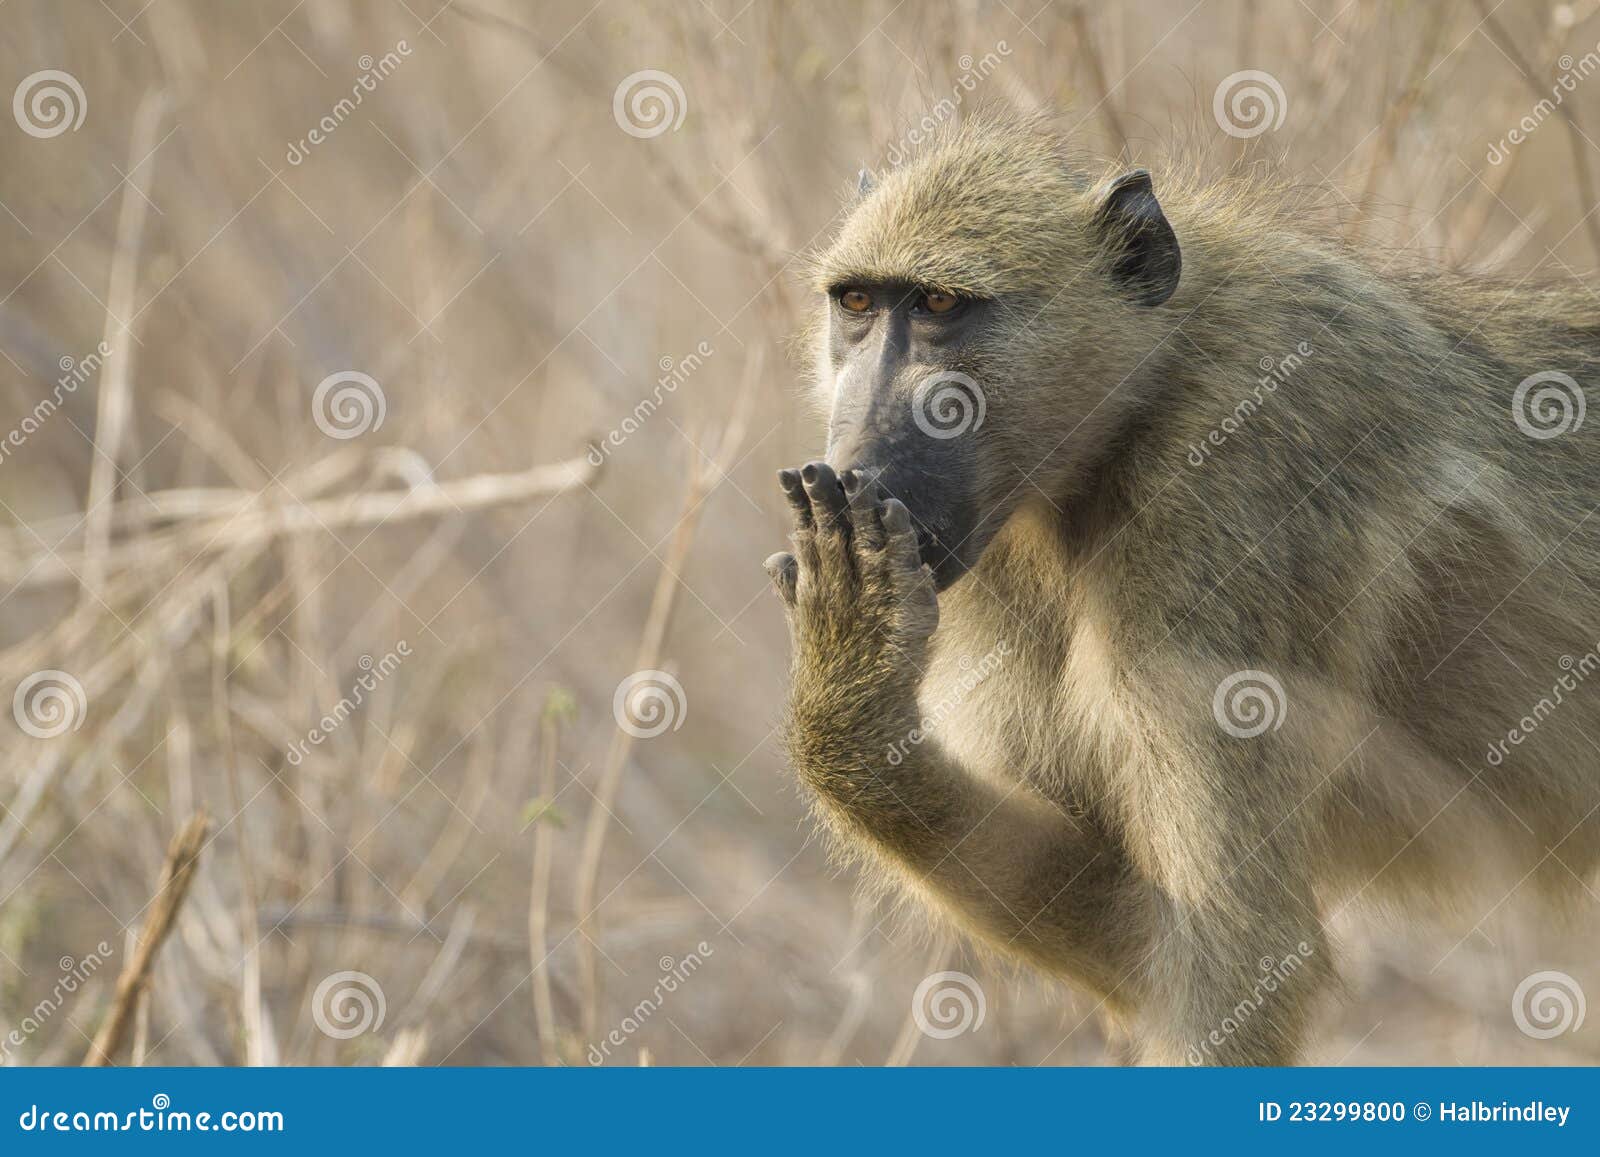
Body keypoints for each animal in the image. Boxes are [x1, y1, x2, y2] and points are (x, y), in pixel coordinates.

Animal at [763, 112, 1600, 1065]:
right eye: (857, 307)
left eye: (939, 307)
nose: (852, 467)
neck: (1144, 393)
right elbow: (1131, 929)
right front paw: (851, 691)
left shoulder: (1237, 494)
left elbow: (1239, 955)